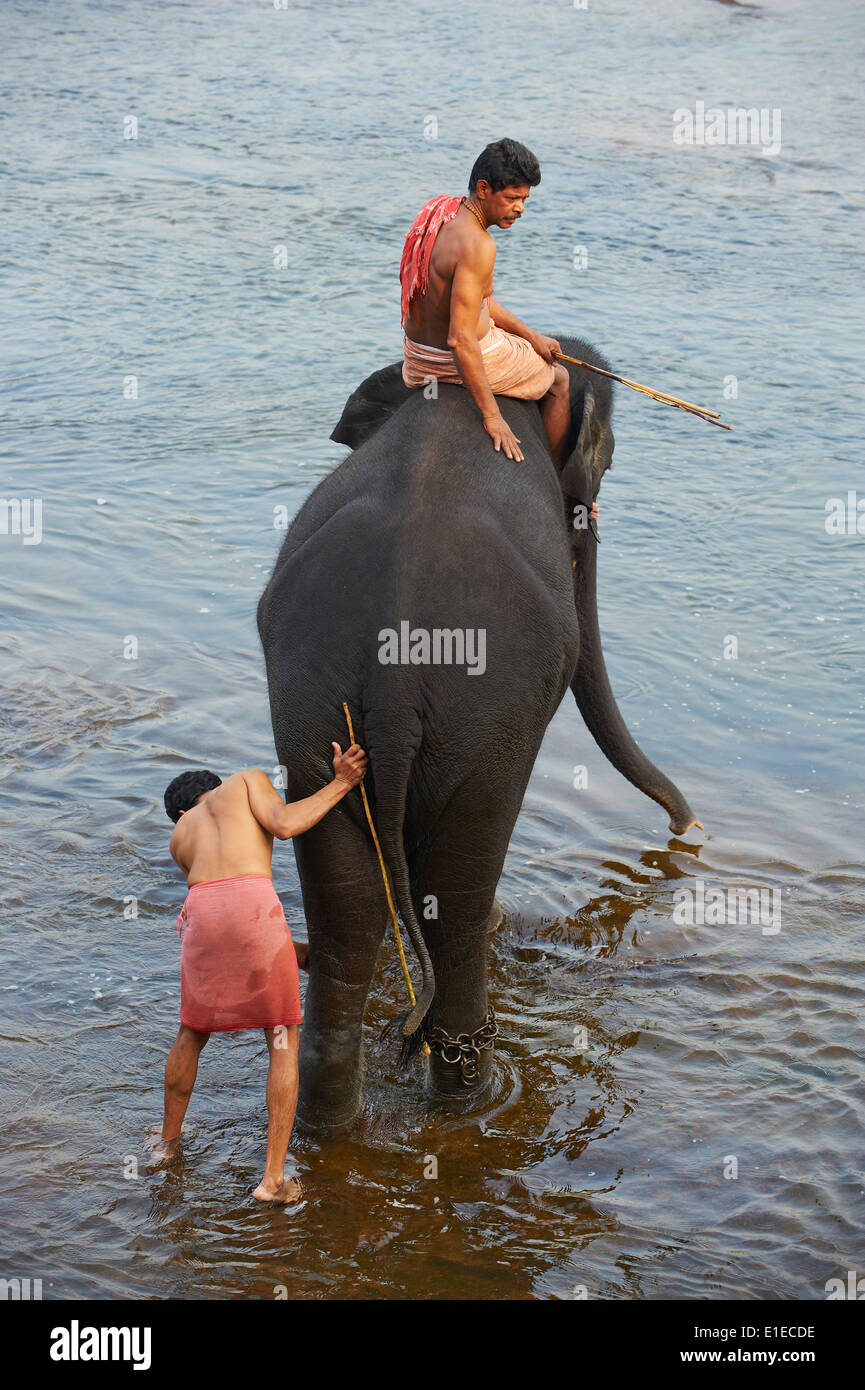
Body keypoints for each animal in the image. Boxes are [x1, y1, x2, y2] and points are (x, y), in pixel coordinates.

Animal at [257, 336, 700, 1133]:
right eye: (607, 461)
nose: (686, 827)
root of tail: (397, 672)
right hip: (488, 722)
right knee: (460, 889)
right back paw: (479, 1098)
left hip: (309, 712)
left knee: (347, 902)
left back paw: (332, 1122)